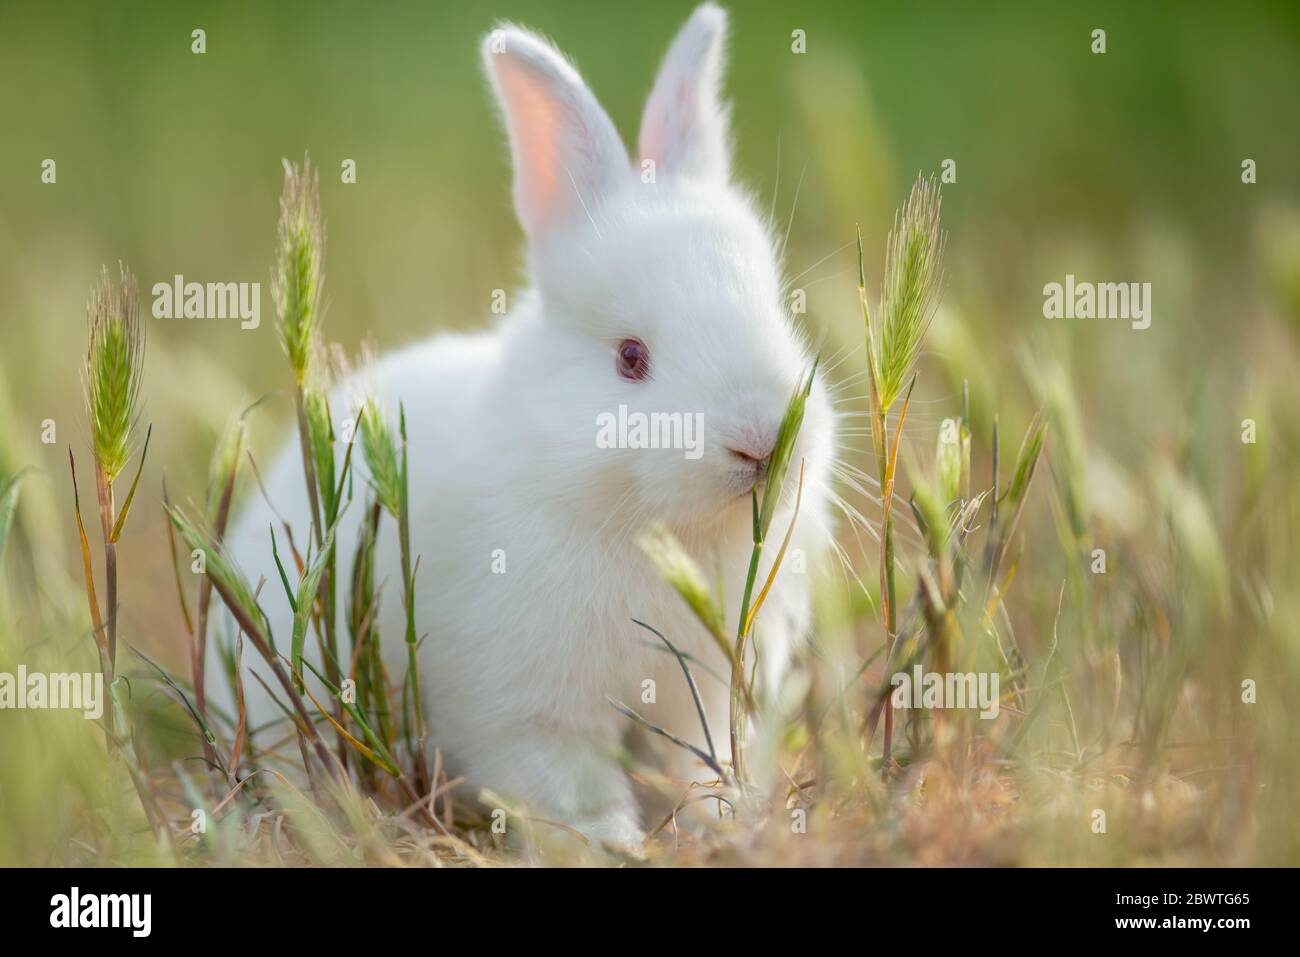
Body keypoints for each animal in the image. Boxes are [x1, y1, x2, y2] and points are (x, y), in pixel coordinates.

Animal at [215, 2, 837, 850]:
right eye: (631, 357)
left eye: (780, 313)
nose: (763, 440)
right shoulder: (532, 718)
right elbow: (573, 792)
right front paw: (615, 848)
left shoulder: (698, 695)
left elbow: (697, 764)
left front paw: (719, 825)